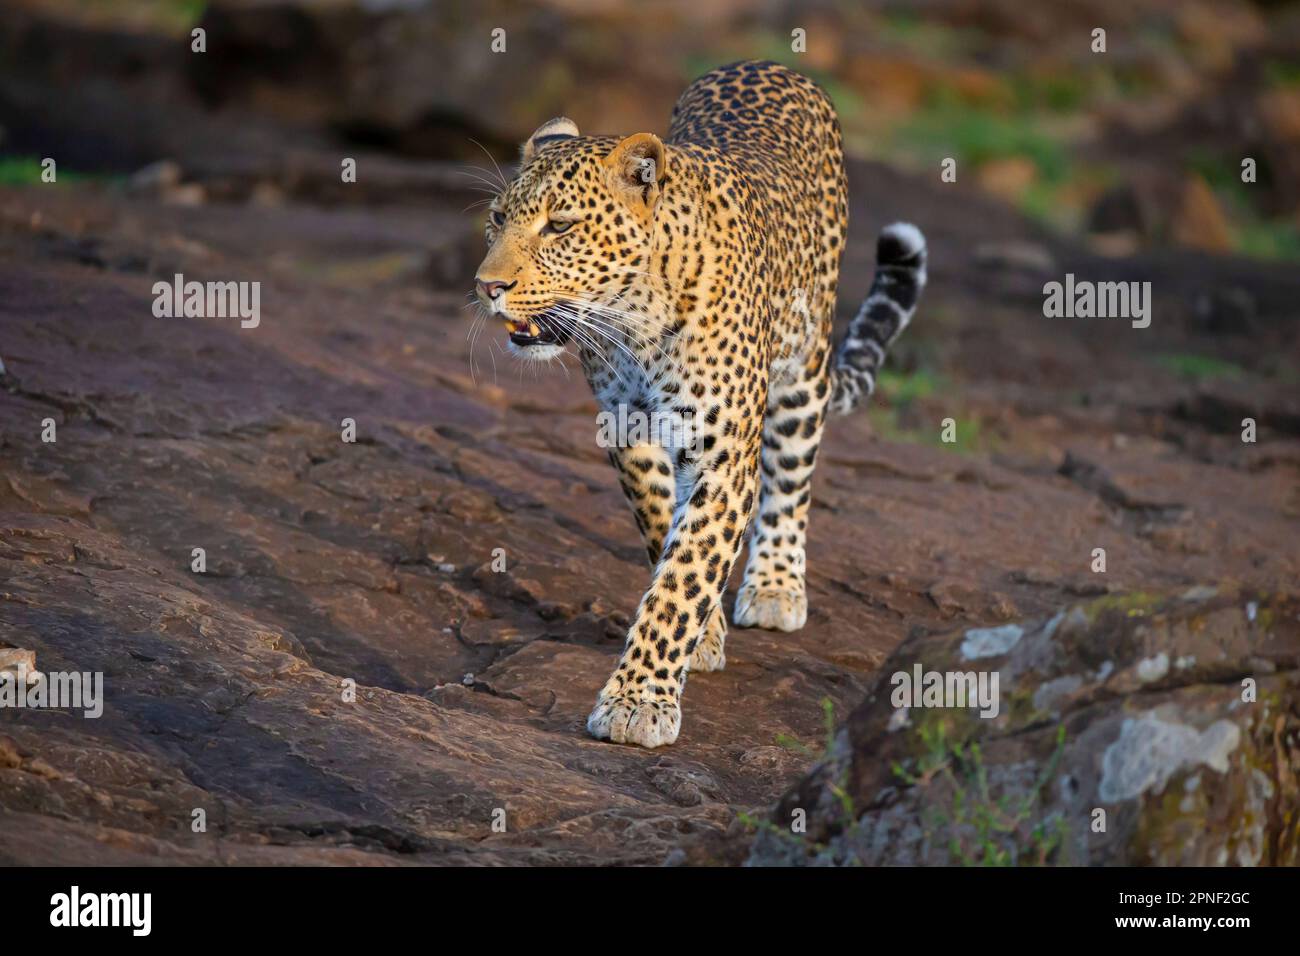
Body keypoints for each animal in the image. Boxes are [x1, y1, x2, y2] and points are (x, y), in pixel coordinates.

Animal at [473, 60, 926, 748]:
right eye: (497, 218)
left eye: (561, 226)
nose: (487, 287)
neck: (632, 321)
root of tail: (767, 63)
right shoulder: (627, 429)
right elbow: (666, 531)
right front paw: (702, 637)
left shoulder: (725, 455)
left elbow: (682, 578)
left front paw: (637, 703)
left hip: (804, 366)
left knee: (792, 475)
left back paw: (775, 586)